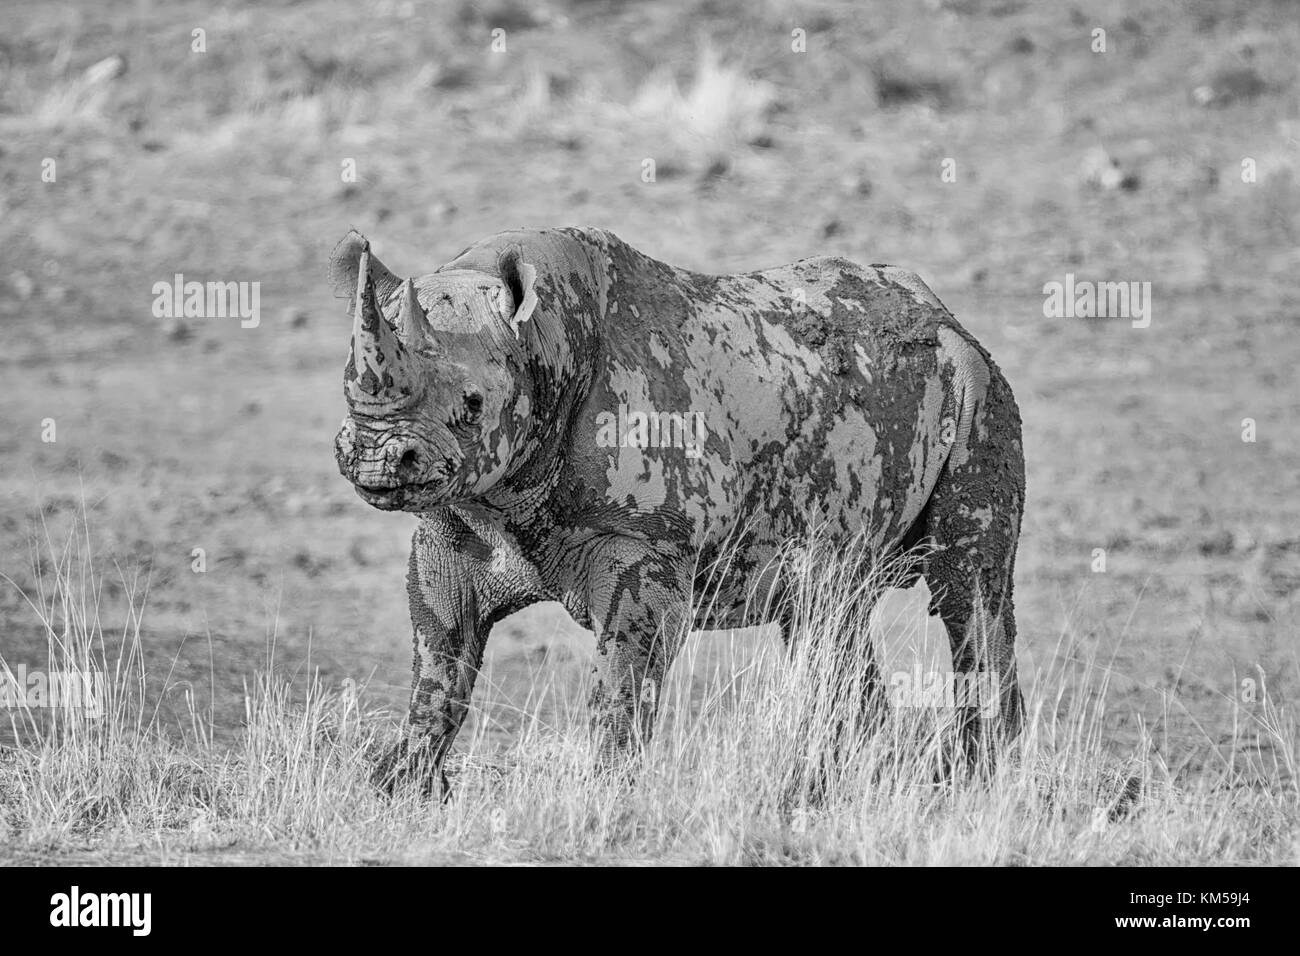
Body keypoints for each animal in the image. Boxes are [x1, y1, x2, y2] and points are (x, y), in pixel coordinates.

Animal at [329, 226, 1026, 794]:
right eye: (346, 381)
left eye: (473, 404)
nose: (374, 458)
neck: (541, 346)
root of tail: (942, 312)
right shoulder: (454, 524)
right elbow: (440, 662)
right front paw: (401, 787)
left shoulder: (645, 544)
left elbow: (622, 676)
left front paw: (605, 792)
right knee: (827, 609)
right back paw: (841, 789)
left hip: (979, 390)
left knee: (970, 591)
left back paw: (974, 784)